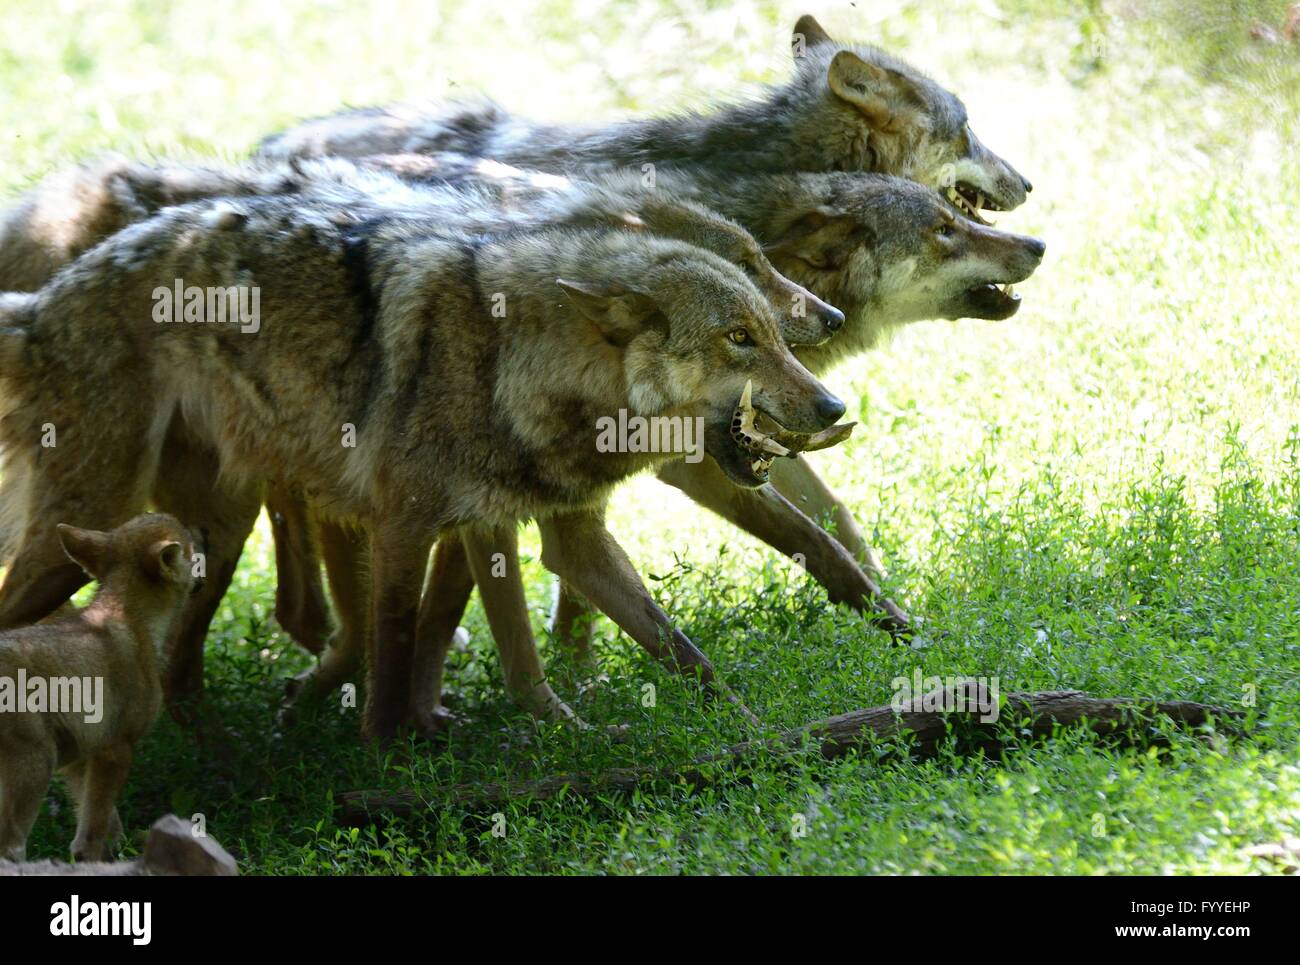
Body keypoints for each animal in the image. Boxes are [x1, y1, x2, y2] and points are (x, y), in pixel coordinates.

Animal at [0, 153, 847, 717]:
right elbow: (413, 642)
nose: (835, 403)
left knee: (211, 651)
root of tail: (44, 306)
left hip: (214, 526)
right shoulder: (419, 520)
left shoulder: (540, 527)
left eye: (769, 315)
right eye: (740, 335)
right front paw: (402, 754)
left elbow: (676, 641)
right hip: (91, 525)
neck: (522, 360)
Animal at [0, 514, 195, 862]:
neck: (130, 619)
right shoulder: (115, 748)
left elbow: (105, 821)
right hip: (35, 763)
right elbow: (92, 832)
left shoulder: (80, 756)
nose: (204, 533)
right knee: (9, 844)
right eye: (189, 542)